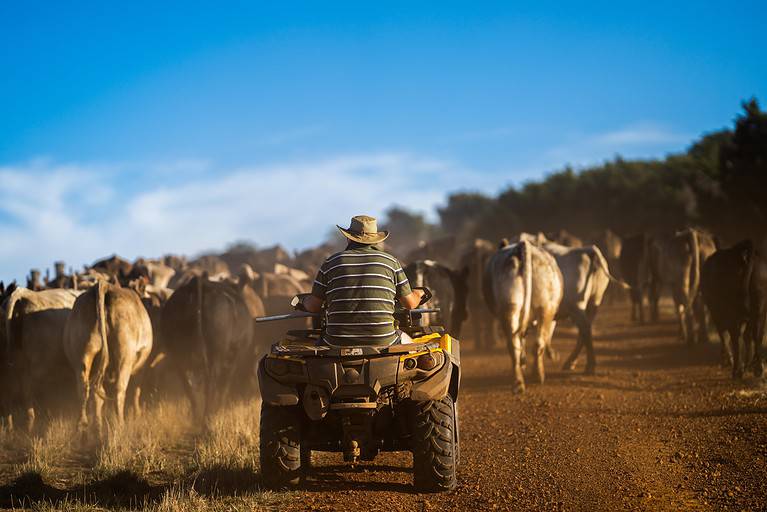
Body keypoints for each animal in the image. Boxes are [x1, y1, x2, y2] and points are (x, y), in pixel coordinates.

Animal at [63, 280, 153, 438]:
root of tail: (104, 285)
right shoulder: (141, 367)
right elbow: (136, 391)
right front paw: (137, 414)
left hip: (83, 355)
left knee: (85, 388)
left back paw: (84, 426)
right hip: (124, 355)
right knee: (119, 389)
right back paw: (120, 425)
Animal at [161, 276, 254, 426]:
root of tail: (199, 284)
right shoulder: (234, 355)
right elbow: (225, 385)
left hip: (177, 355)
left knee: (189, 386)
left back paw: (196, 417)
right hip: (214, 355)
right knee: (211, 384)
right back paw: (208, 417)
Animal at [484, 240, 564, 392]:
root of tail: (521, 245)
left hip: (512, 307)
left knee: (516, 344)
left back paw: (519, 382)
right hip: (545, 308)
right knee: (535, 343)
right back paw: (537, 375)